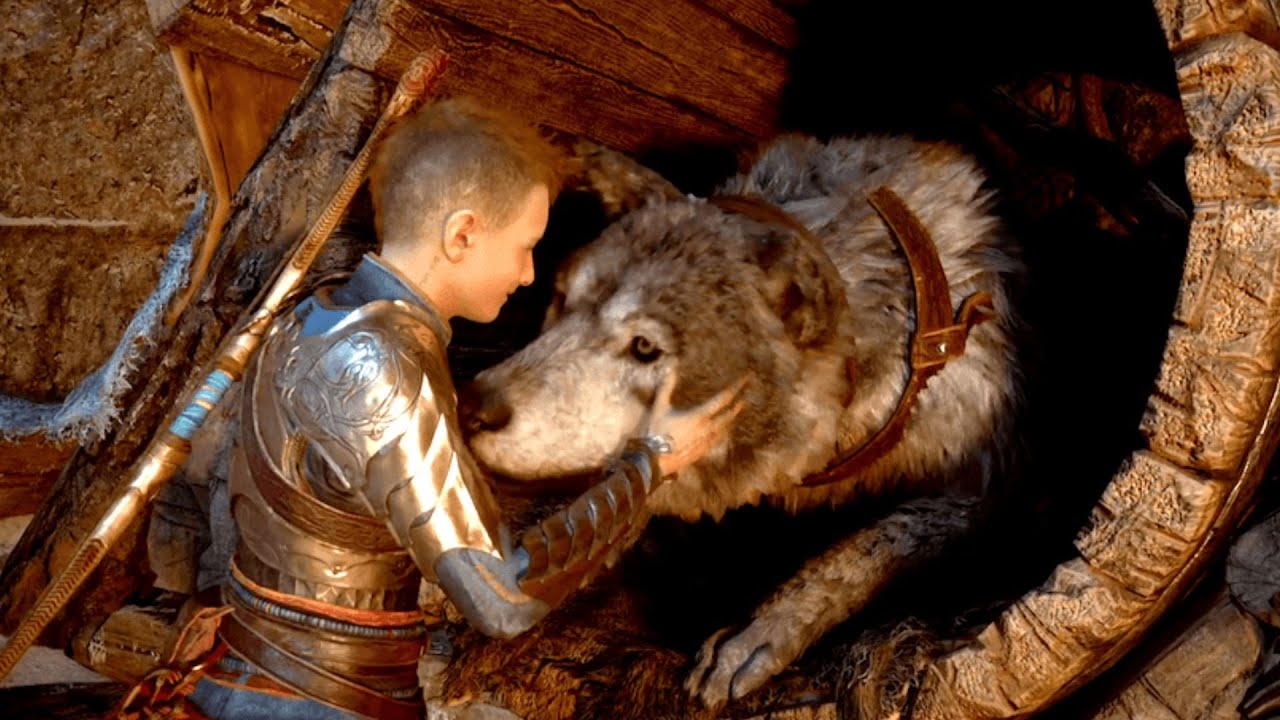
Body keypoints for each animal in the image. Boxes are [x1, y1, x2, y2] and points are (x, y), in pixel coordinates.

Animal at [461, 132, 1026, 709]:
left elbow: (861, 551)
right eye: (560, 301)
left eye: (644, 347)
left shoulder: (980, 492)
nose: (471, 406)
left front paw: (756, 635)